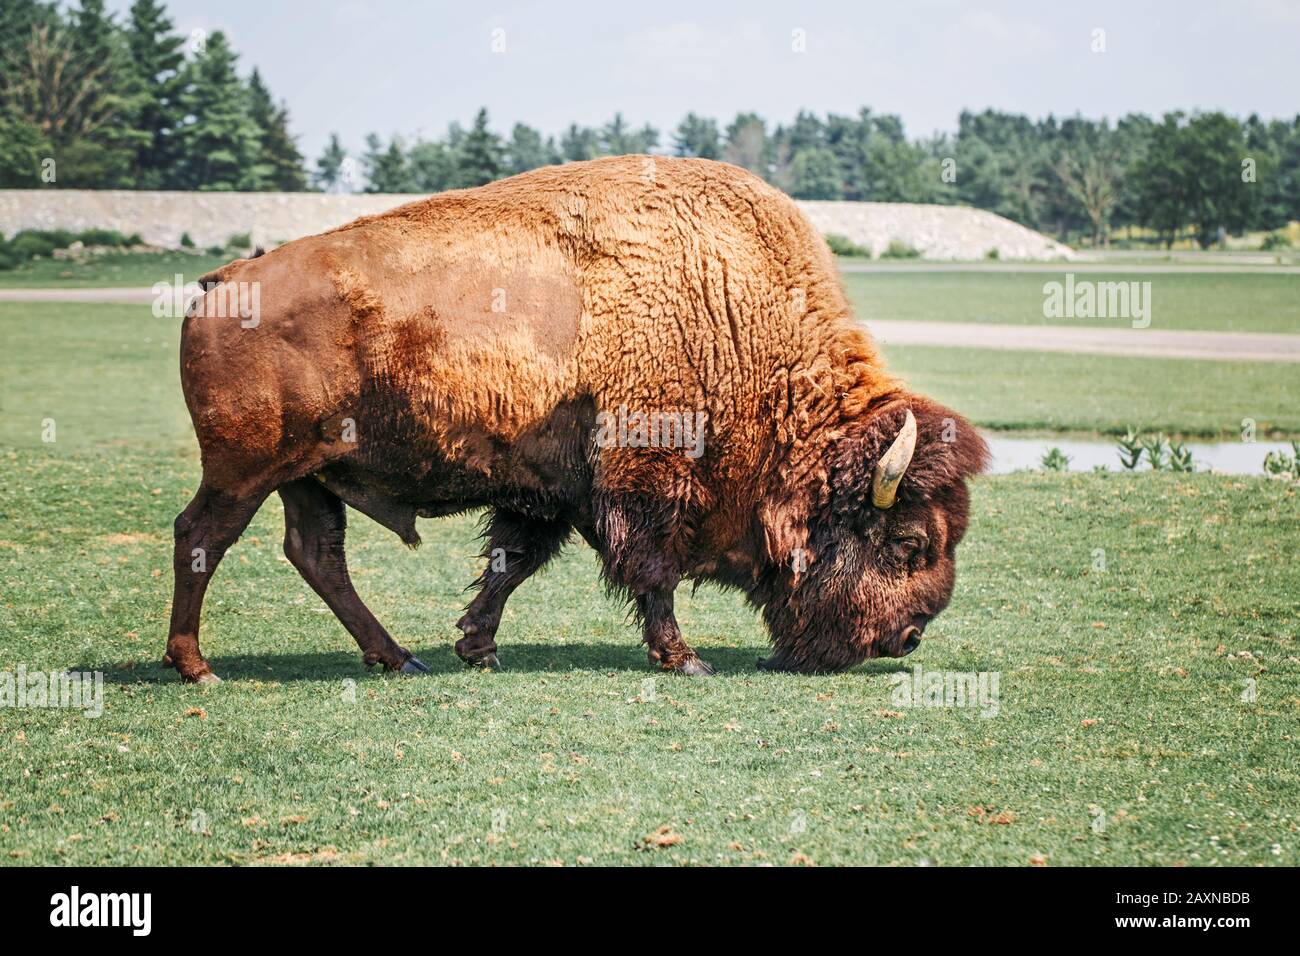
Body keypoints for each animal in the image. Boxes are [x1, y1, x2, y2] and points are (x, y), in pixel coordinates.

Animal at [165, 155, 987, 682]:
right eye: (910, 543)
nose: (907, 638)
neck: (731, 315)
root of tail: (224, 280)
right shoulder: (647, 481)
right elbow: (652, 570)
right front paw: (685, 659)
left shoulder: (550, 494)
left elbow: (514, 561)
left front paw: (477, 647)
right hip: (243, 470)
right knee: (202, 537)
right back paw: (197, 667)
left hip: (307, 476)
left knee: (318, 553)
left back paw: (400, 658)